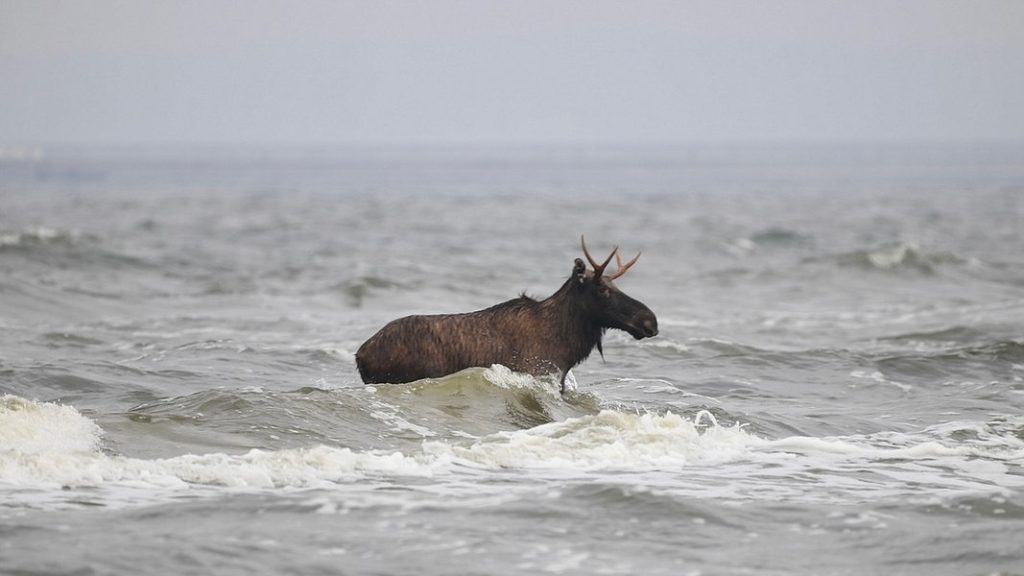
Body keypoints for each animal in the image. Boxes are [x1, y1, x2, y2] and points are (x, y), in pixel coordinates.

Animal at [354, 235, 655, 391]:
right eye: (602, 289)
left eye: (615, 285)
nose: (650, 320)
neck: (564, 342)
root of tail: (360, 354)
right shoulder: (537, 373)